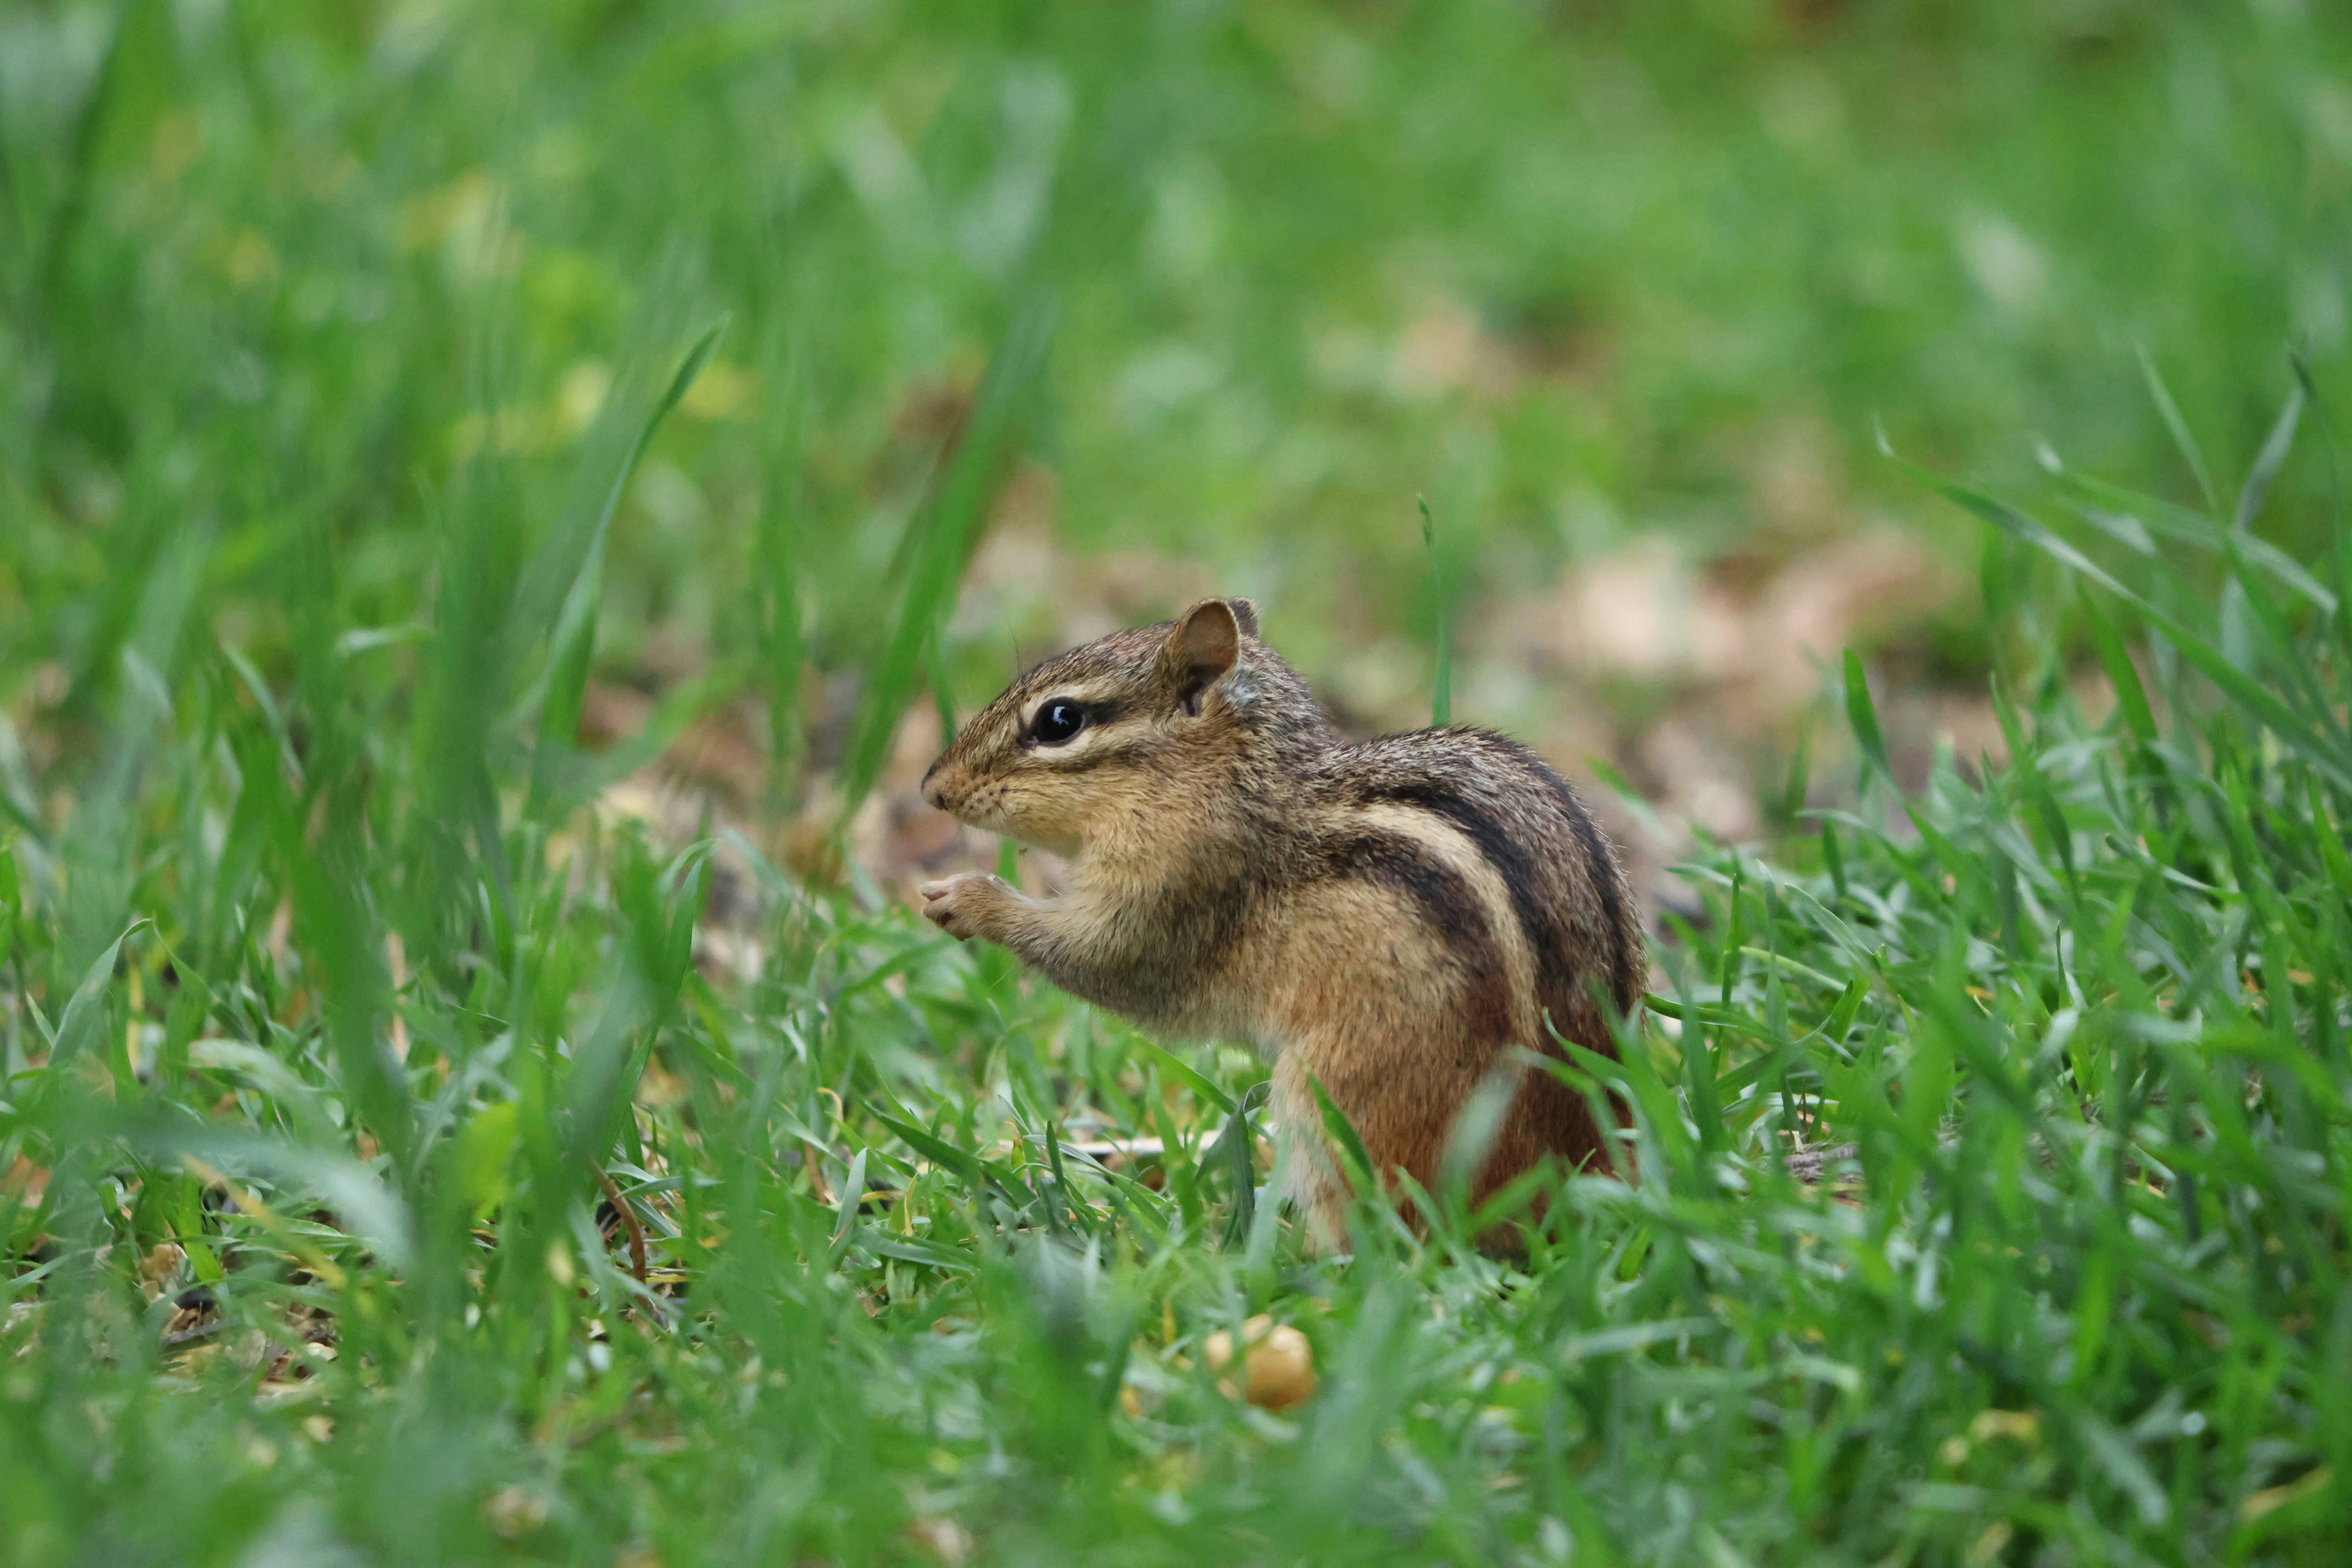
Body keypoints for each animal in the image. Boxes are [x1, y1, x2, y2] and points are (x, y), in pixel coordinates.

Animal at [918, 597, 1643, 1245]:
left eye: (1060, 720)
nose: (933, 790)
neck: (1228, 784)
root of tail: (1570, 1185)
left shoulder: (1171, 898)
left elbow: (1104, 962)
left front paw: (970, 898)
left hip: (1333, 1101)